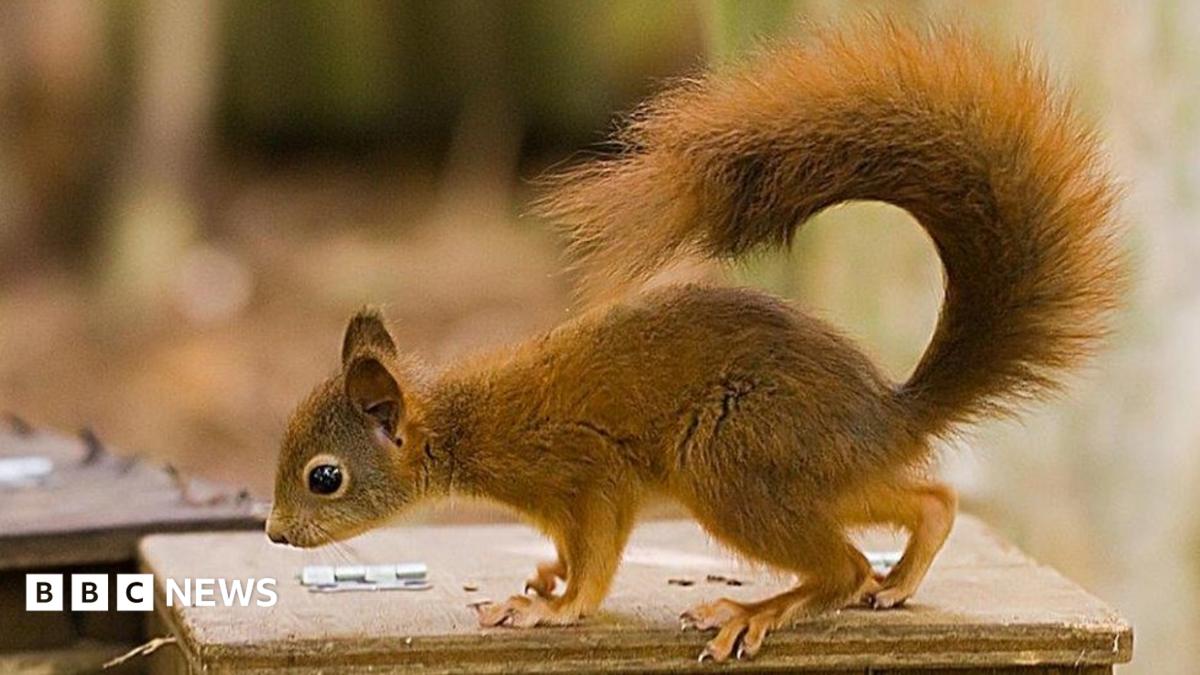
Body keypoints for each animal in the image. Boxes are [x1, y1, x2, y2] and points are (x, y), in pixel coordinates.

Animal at [266, 20, 1123, 663]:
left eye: (324, 478)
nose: (274, 532)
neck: (464, 425)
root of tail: (889, 414)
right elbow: (571, 549)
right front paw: (546, 576)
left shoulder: (589, 471)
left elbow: (597, 557)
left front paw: (555, 607)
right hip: (821, 472)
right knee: (929, 499)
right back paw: (902, 571)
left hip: (732, 458)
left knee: (842, 563)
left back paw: (757, 610)